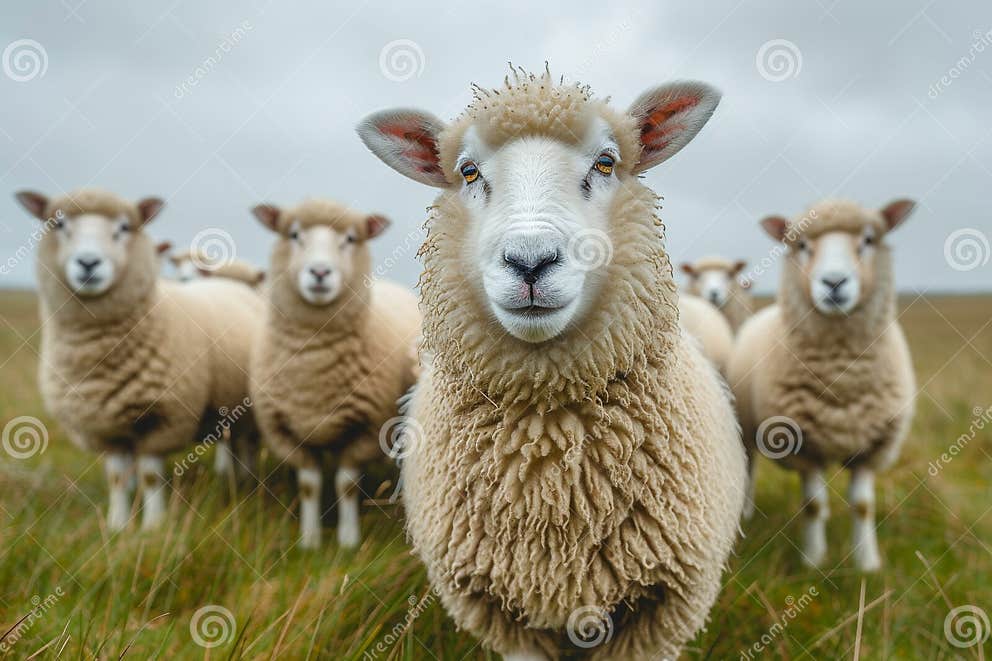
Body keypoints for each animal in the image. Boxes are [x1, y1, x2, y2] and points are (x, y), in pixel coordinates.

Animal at [14, 188, 263, 531]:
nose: (88, 262)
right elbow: (118, 478)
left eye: (123, 227)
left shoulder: (161, 419)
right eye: (59, 224)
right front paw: (117, 525)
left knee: (246, 445)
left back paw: (244, 482)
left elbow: (150, 477)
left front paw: (153, 526)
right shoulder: (105, 426)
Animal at [248, 198, 420, 549]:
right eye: (294, 234)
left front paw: (349, 540)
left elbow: (347, 485)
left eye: (350, 239)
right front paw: (310, 540)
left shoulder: (365, 429)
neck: (314, 371)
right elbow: (309, 486)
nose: (319, 272)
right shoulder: (288, 433)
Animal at [727, 198, 917, 572]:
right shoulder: (803, 446)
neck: (841, 373)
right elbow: (813, 506)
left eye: (868, 240)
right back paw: (746, 513)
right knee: (749, 469)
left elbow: (863, 507)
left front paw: (867, 564)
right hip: (746, 426)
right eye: (802, 245)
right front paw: (813, 562)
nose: (834, 282)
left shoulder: (872, 445)